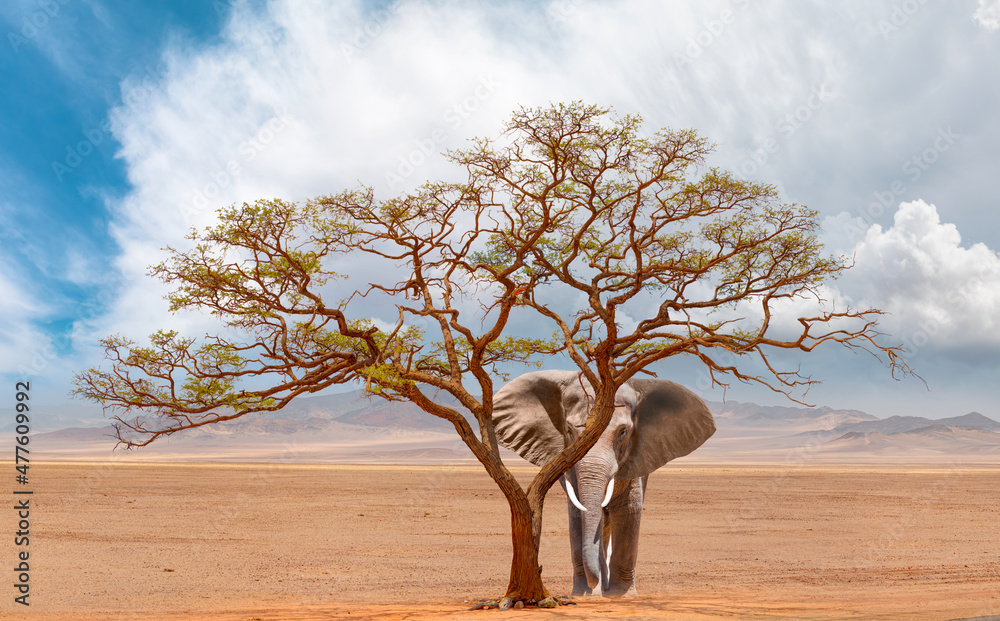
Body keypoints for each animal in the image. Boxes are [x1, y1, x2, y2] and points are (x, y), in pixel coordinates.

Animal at [492, 370, 715, 597]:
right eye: (569, 431)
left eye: (623, 432)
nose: (595, 585)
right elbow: (578, 513)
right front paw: (586, 594)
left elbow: (628, 509)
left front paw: (622, 595)